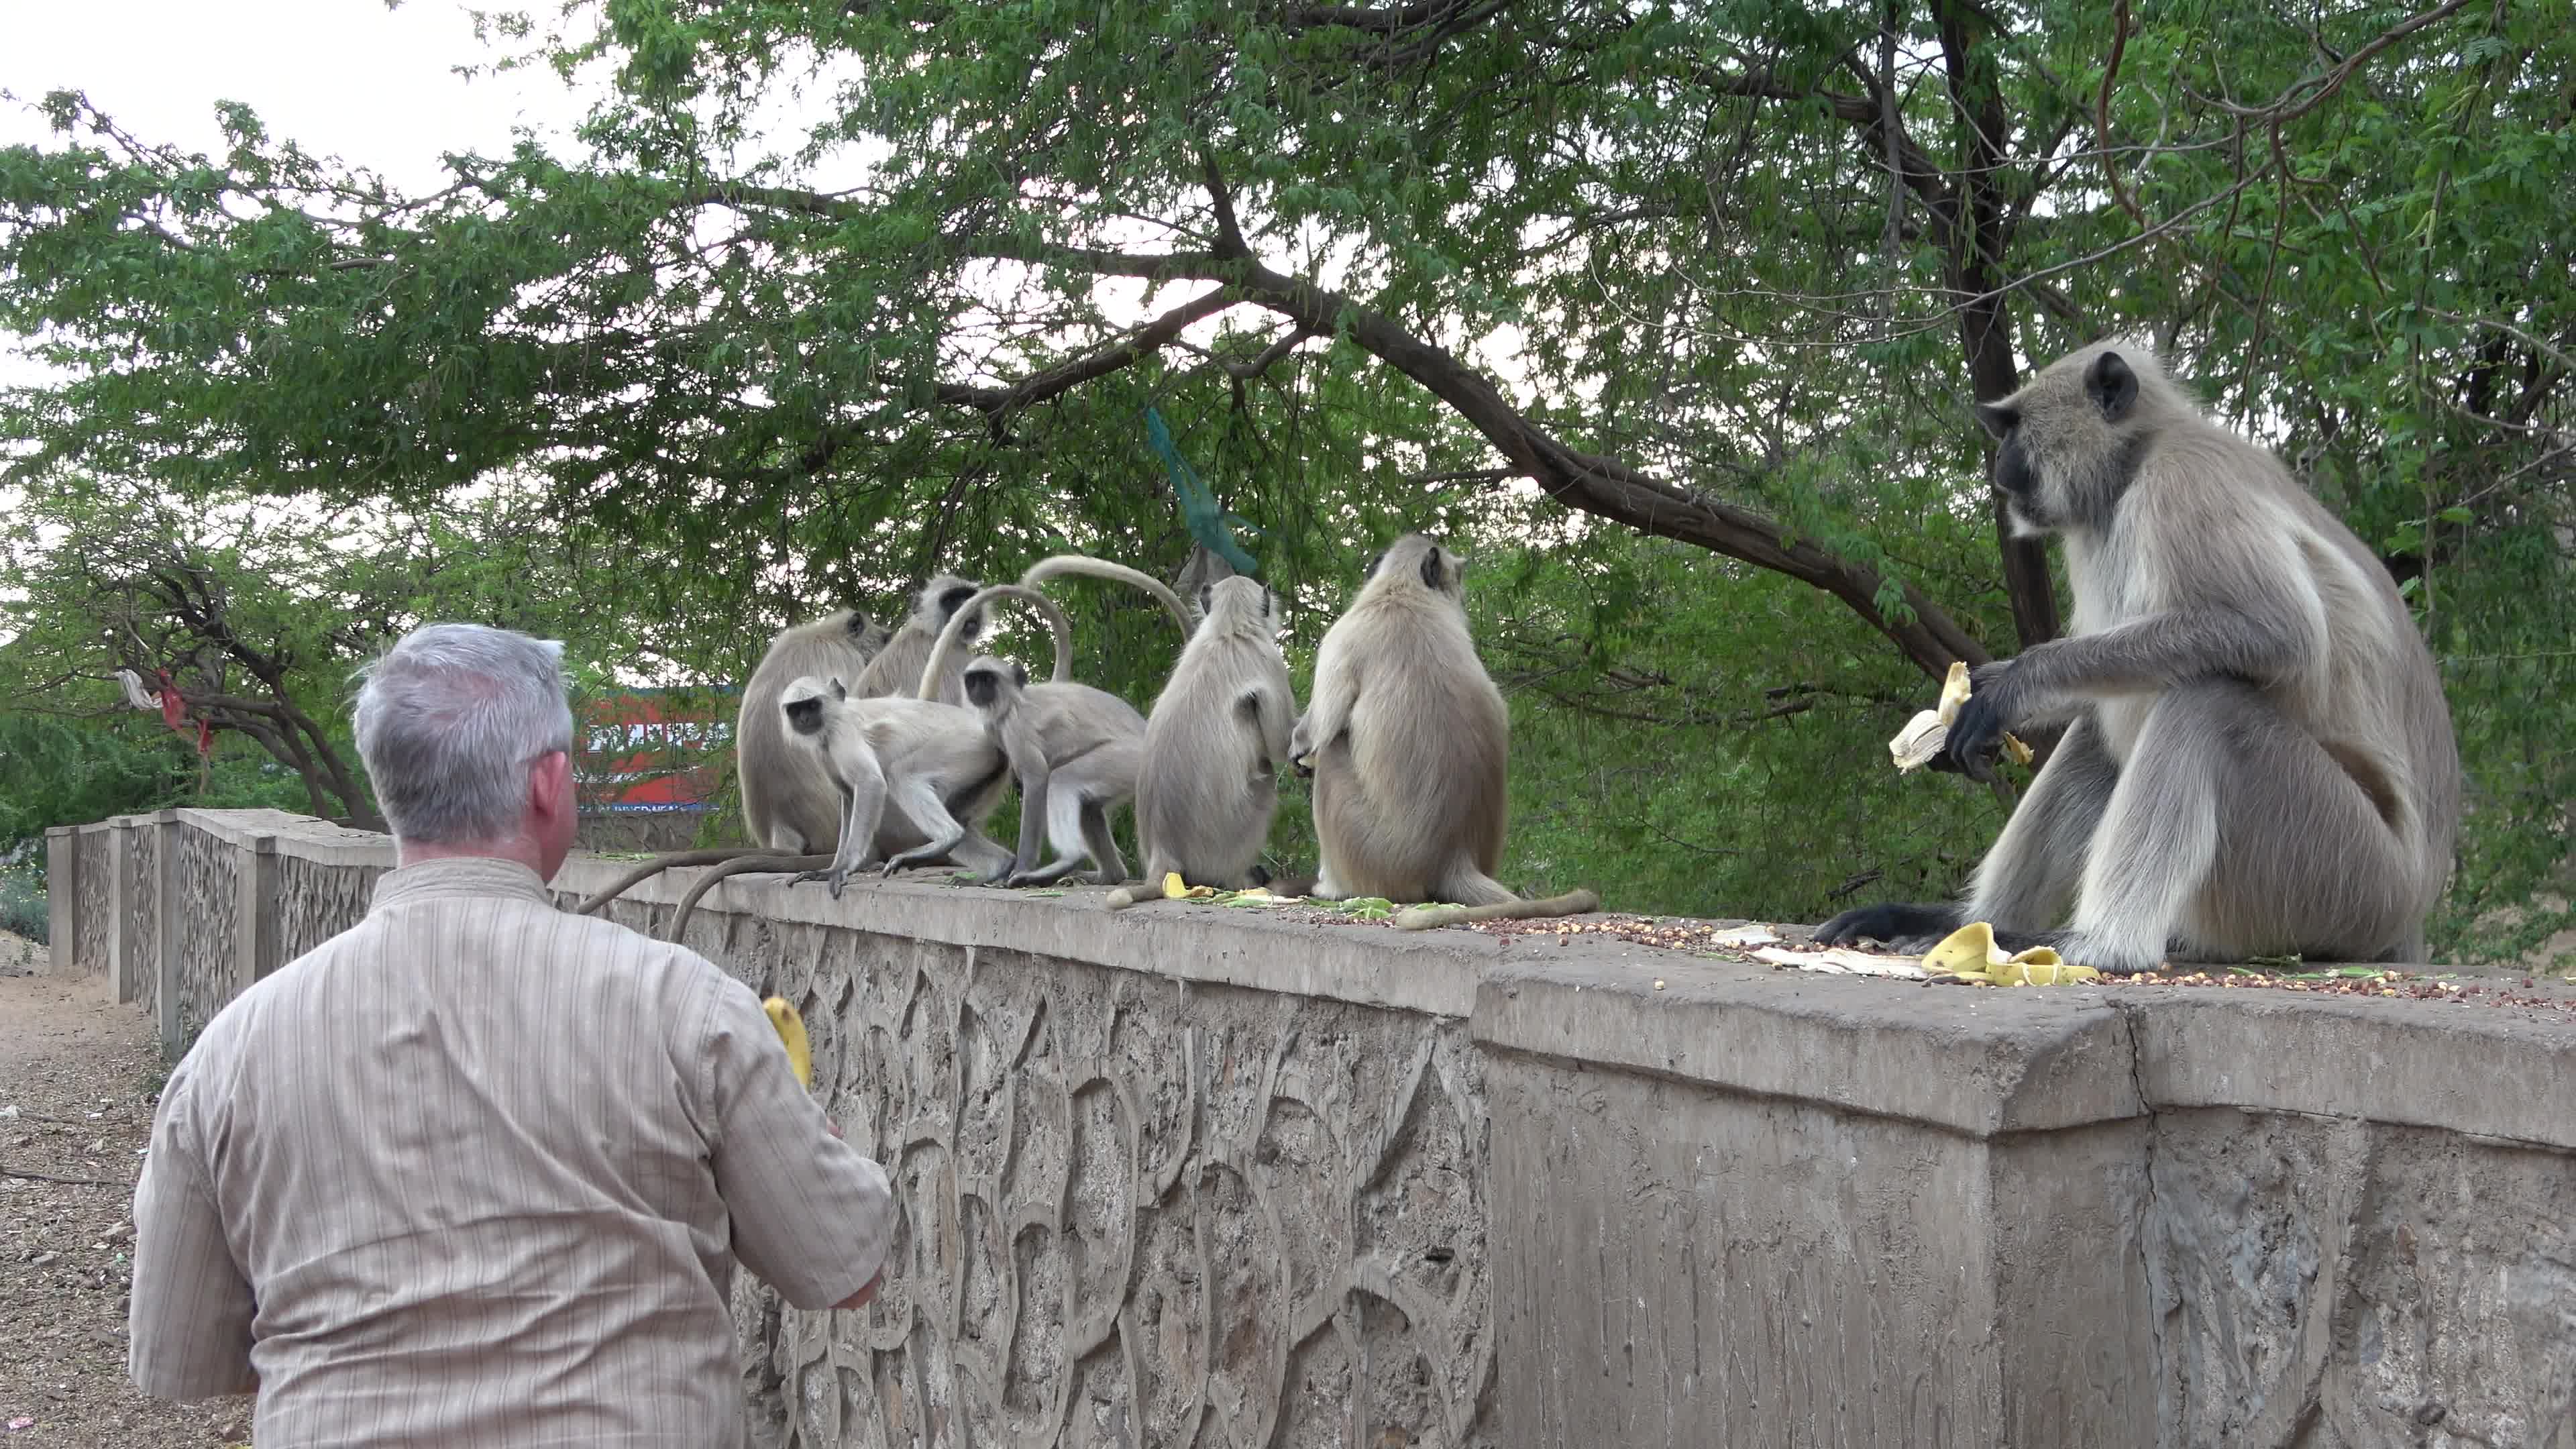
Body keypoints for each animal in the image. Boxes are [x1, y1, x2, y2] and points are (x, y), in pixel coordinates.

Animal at [1278, 534, 1598, 929]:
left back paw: (1332, 887)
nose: (1460, 594)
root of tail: (1452, 856)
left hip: (1369, 852)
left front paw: (1299, 750)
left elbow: (1323, 722)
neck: (1403, 591)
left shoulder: (1345, 633)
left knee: (1335, 750)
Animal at [1815, 339, 2461, 975]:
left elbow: (2281, 632)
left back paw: (2099, 947)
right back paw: (1965, 925)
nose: (2001, 465)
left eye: (2014, 428)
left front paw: (2013, 686)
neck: (2138, 456)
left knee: (2209, 704)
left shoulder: (2185, 483)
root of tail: (2413, 907)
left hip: (2342, 876)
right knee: (2099, 729)